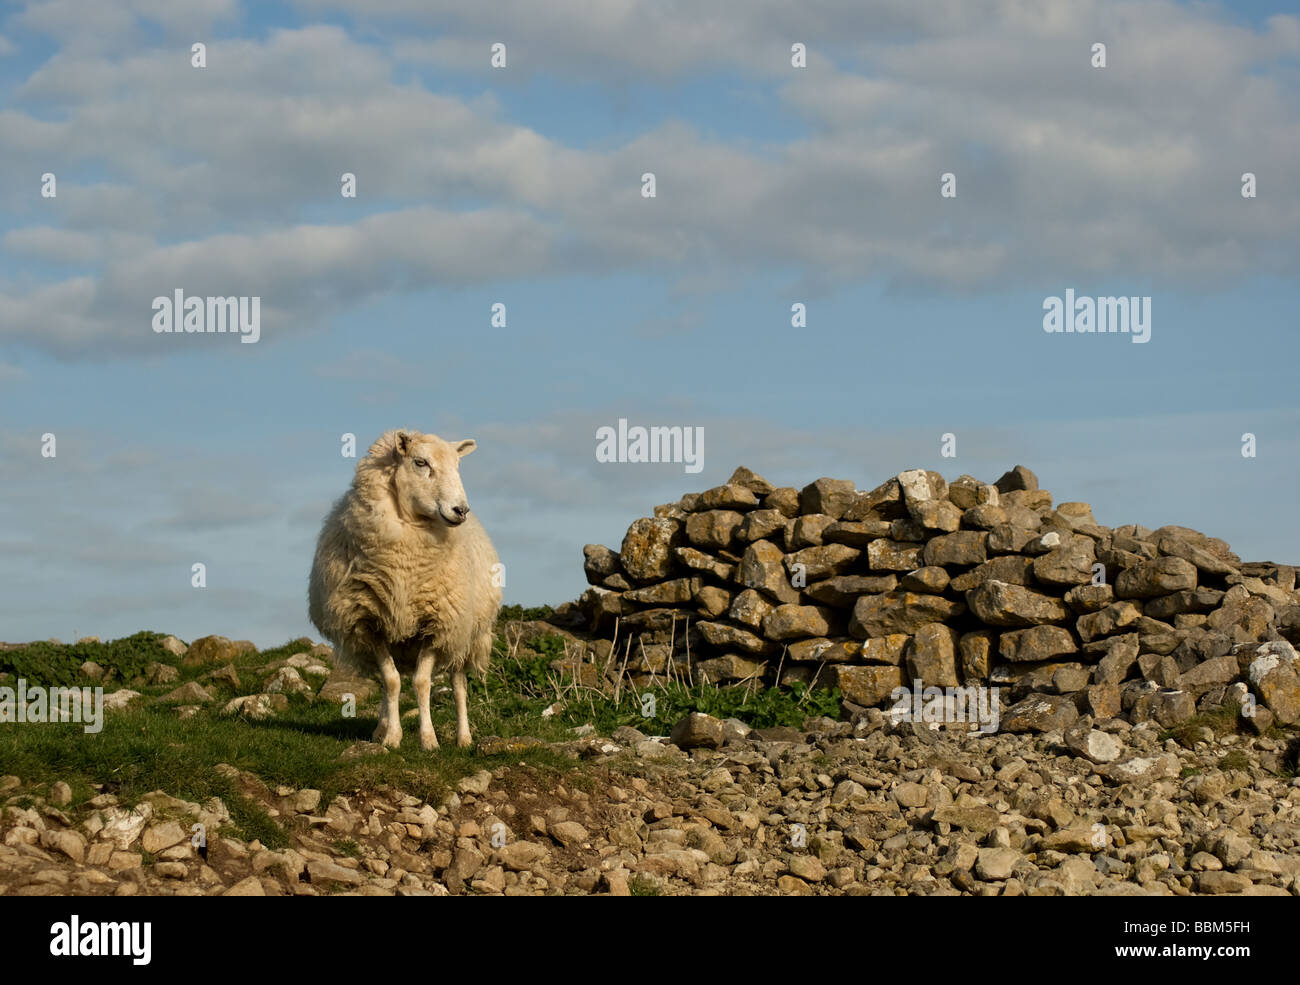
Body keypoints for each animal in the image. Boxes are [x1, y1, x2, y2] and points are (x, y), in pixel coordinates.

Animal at [308, 429, 501, 750]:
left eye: (458, 466)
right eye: (420, 462)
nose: (460, 510)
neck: (405, 563)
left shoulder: (436, 625)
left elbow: (421, 682)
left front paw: (428, 740)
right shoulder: (369, 623)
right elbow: (391, 681)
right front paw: (391, 737)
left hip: (464, 634)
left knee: (459, 685)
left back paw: (463, 738)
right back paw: (381, 728)